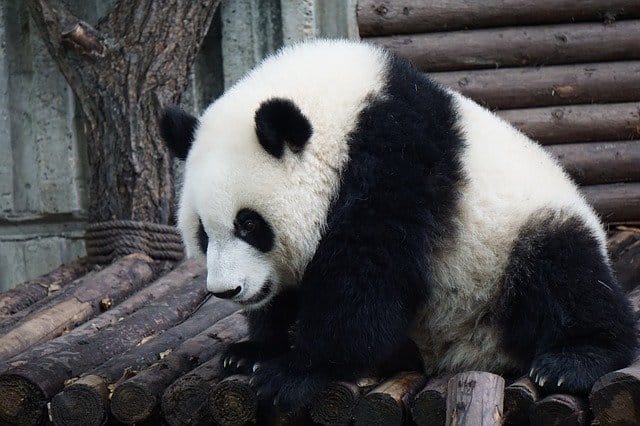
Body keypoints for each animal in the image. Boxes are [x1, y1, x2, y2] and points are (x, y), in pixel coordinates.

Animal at [160, 39, 637, 411]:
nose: (228, 290)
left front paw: (293, 373)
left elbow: (367, 281)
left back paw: (571, 361)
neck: (342, 113)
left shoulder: (394, 167)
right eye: (203, 232)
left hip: (516, 241)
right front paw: (251, 352)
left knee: (563, 274)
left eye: (249, 224)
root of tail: (470, 351)